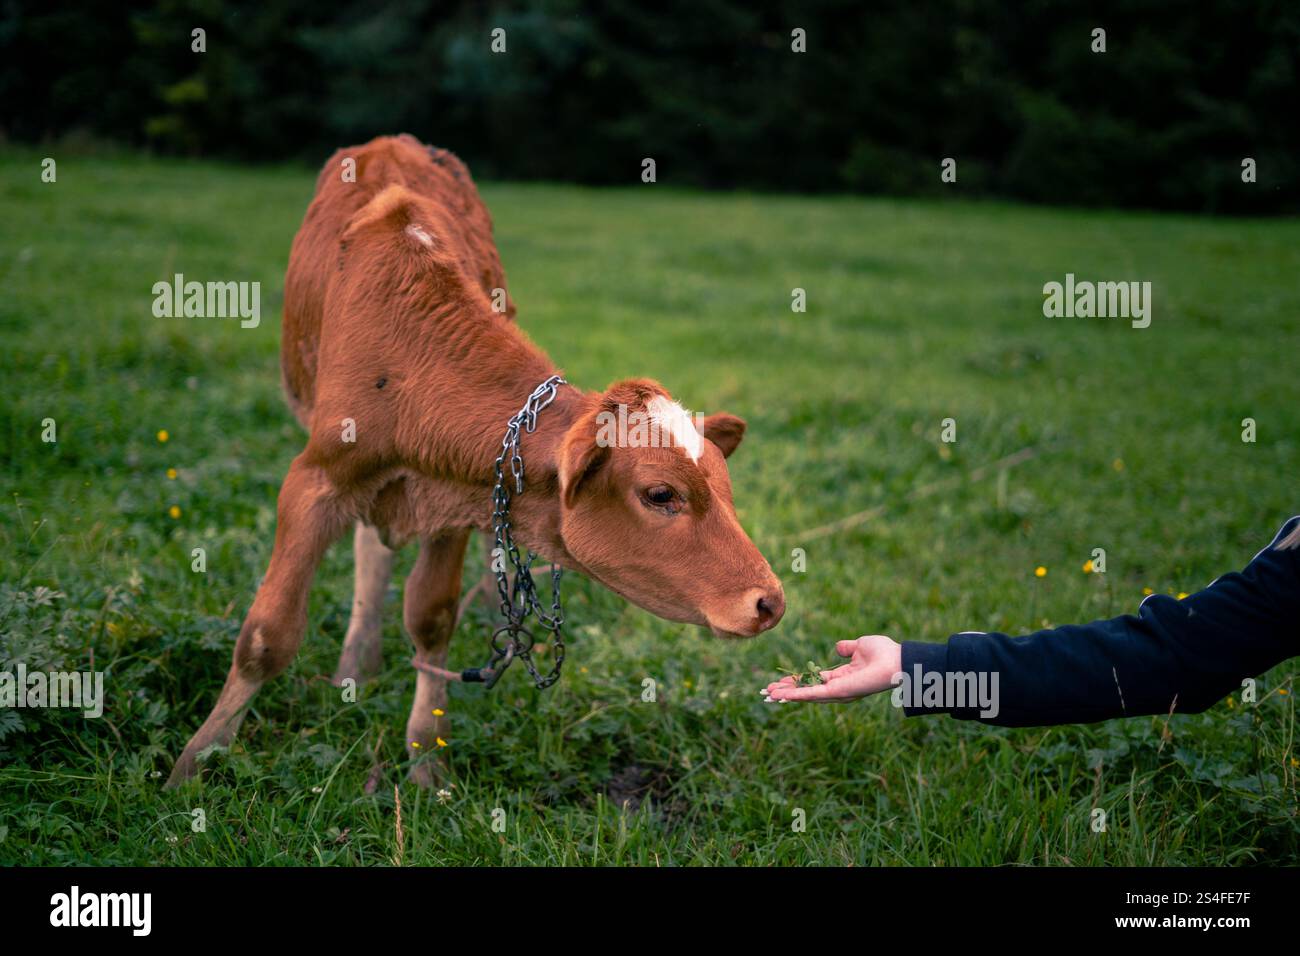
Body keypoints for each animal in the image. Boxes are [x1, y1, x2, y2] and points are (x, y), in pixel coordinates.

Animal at [167, 134, 784, 787]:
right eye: (661, 494)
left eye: (726, 489)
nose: (770, 602)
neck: (407, 360)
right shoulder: (315, 480)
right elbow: (266, 636)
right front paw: (195, 761)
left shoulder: (460, 495)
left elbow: (431, 617)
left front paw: (425, 760)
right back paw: (356, 662)